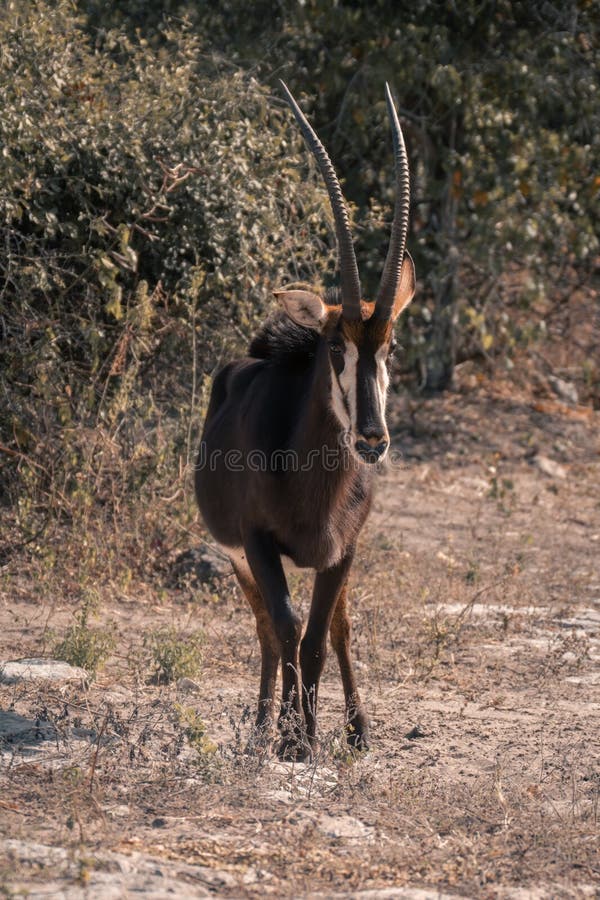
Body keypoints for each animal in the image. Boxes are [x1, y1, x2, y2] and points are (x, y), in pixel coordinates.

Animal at [195, 81, 415, 759]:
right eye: (335, 347)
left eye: (389, 347)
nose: (372, 439)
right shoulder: (258, 543)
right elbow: (288, 627)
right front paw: (290, 736)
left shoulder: (342, 550)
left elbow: (320, 634)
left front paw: (313, 736)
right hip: (237, 558)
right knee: (267, 629)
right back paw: (263, 725)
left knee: (335, 628)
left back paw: (357, 729)